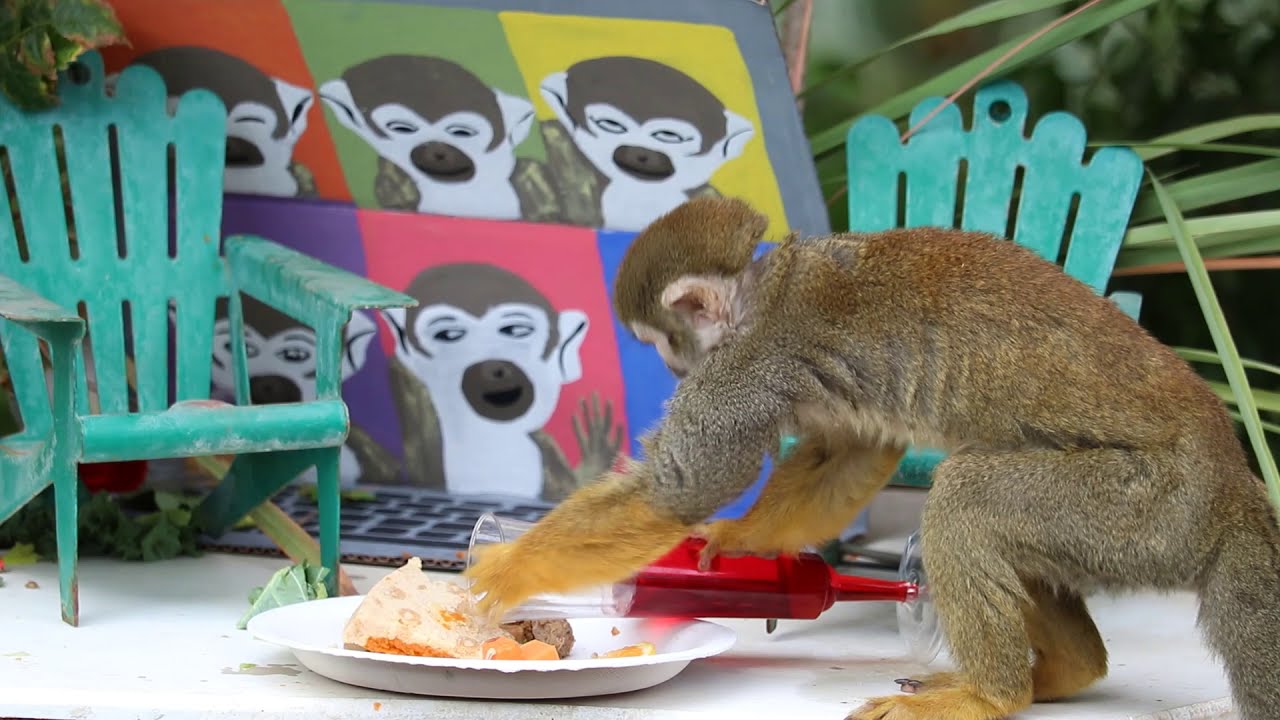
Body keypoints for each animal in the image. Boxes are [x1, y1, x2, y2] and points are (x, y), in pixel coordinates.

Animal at [465, 196, 1280, 720]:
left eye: (662, 341)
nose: (669, 369)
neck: (758, 296)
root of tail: (1234, 491)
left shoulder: (750, 365)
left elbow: (682, 488)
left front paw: (507, 569)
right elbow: (853, 447)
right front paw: (741, 539)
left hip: (1144, 510)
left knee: (966, 494)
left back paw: (992, 696)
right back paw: (1067, 671)